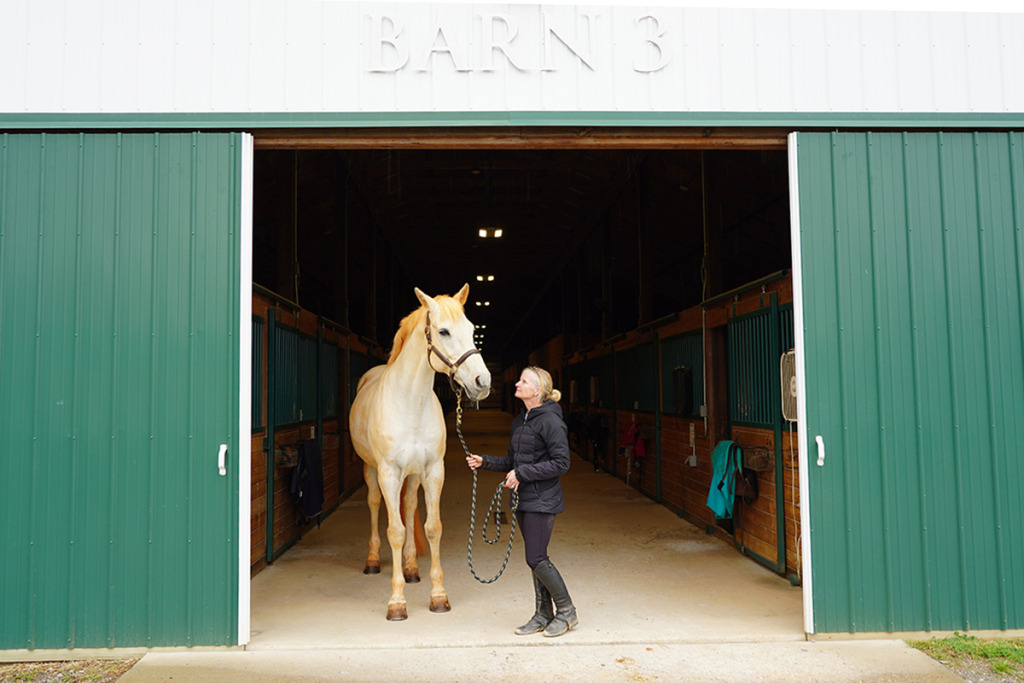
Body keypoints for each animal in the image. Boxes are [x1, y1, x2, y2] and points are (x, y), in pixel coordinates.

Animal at [348, 285, 491, 620]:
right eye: (444, 331)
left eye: (471, 329)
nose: (482, 382)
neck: (410, 404)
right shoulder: (389, 474)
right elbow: (395, 531)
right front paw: (396, 602)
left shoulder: (433, 471)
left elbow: (432, 527)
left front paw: (438, 595)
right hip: (371, 470)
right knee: (375, 505)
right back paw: (373, 560)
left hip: (412, 476)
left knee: (410, 505)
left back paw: (412, 568)